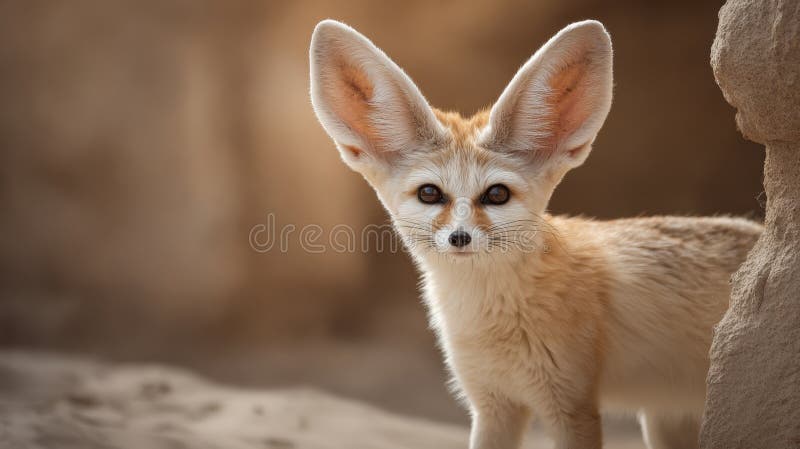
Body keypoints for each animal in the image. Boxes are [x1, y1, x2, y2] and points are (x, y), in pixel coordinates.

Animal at [308, 19, 762, 449]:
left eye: (496, 195)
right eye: (430, 194)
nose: (460, 238)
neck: (488, 315)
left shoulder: (571, 406)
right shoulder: (491, 405)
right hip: (664, 422)